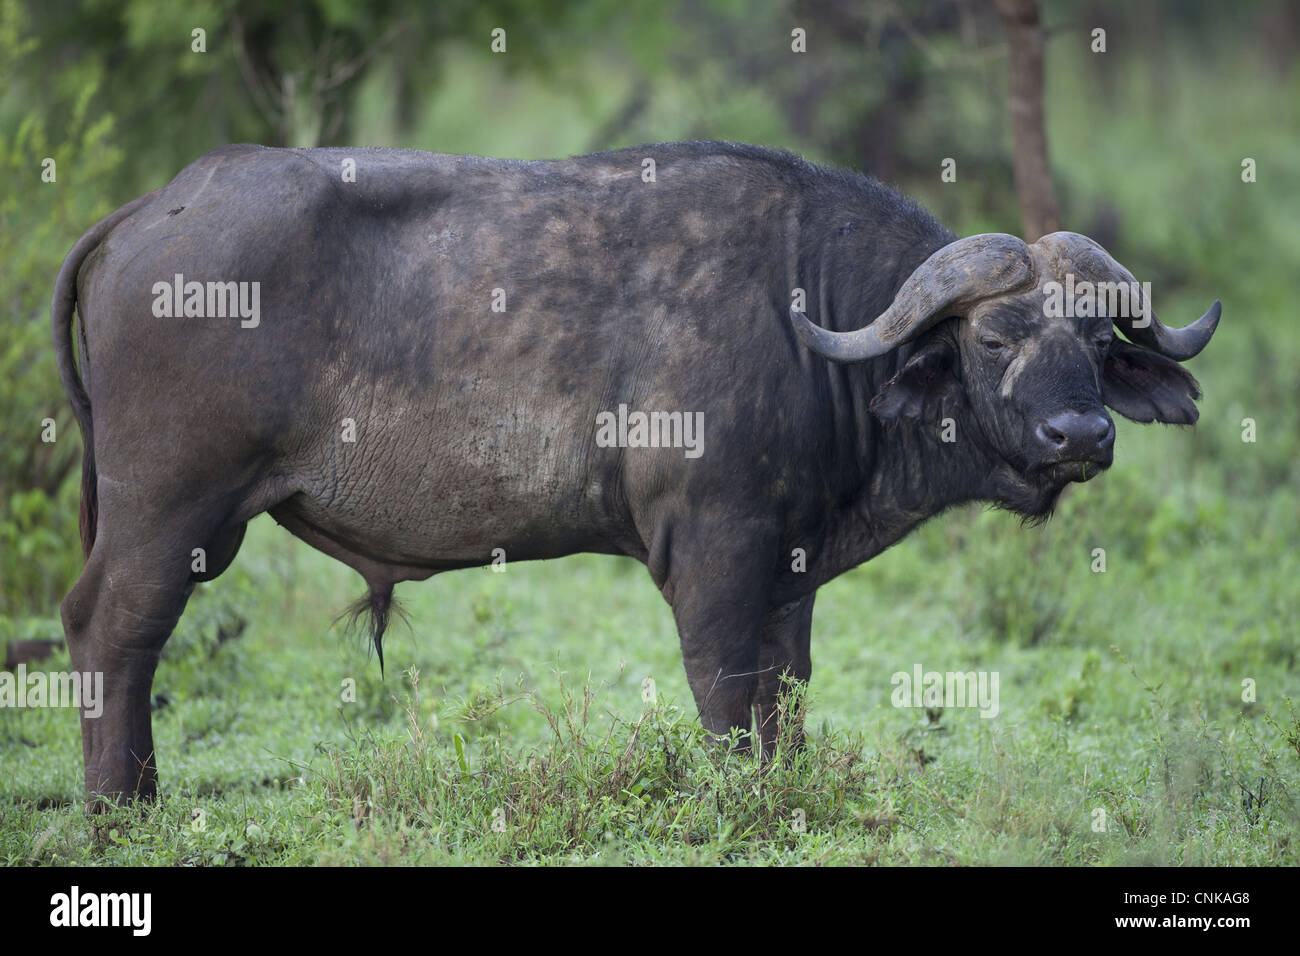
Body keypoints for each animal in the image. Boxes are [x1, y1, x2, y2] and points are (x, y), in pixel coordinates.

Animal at [51, 141, 1220, 803]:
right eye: (994, 338)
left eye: (1100, 343)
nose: (1079, 433)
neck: (809, 315)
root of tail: (142, 213)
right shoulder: (710, 553)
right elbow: (725, 698)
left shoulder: (789, 570)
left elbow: (784, 698)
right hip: (173, 514)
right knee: (110, 630)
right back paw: (124, 806)